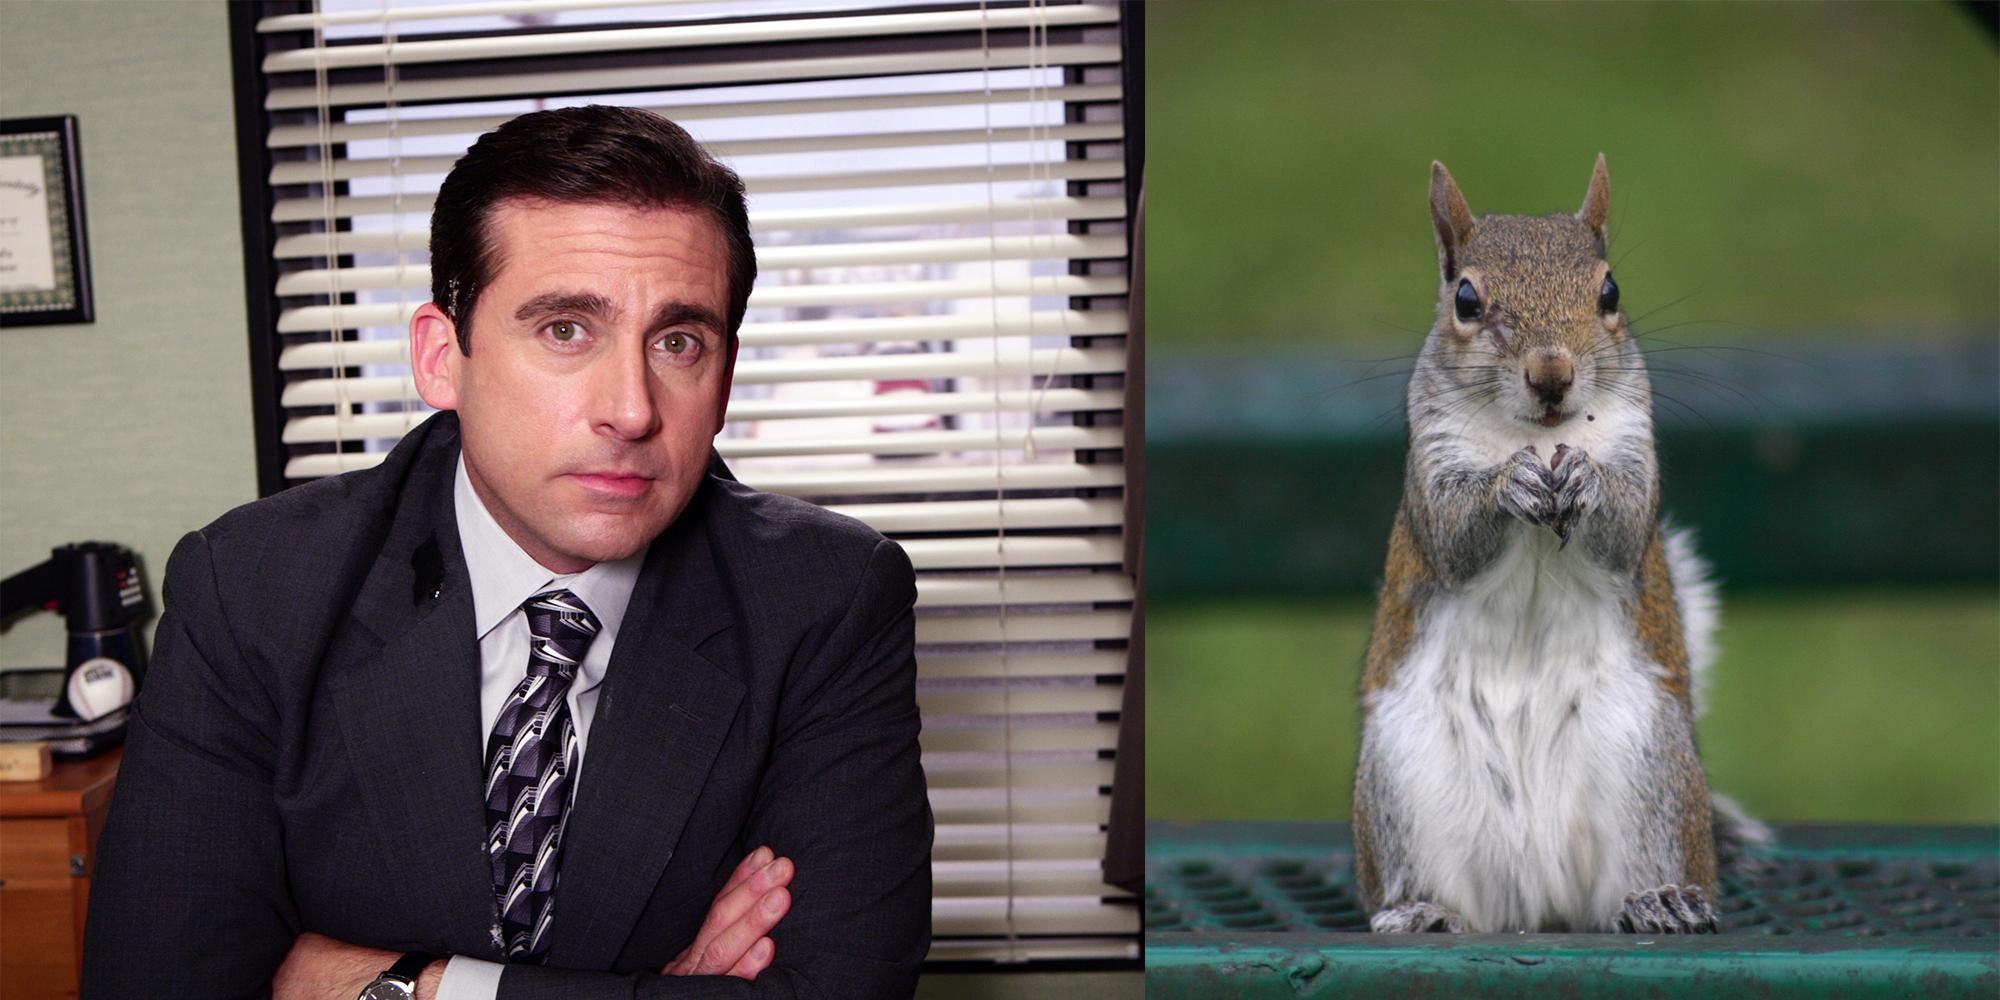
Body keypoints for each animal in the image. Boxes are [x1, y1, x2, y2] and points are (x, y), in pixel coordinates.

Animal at [1350, 156, 1765, 935]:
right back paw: (1419, 912)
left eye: (1610, 291)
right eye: (1466, 299)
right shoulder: (1432, 472)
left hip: (1652, 773)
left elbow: (1626, 528)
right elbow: (1454, 536)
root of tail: (1536, 903)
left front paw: (1586, 480)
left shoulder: (1635, 450)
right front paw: (1508, 485)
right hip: (1400, 779)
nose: (1552, 374)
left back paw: (1661, 900)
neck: (1538, 437)